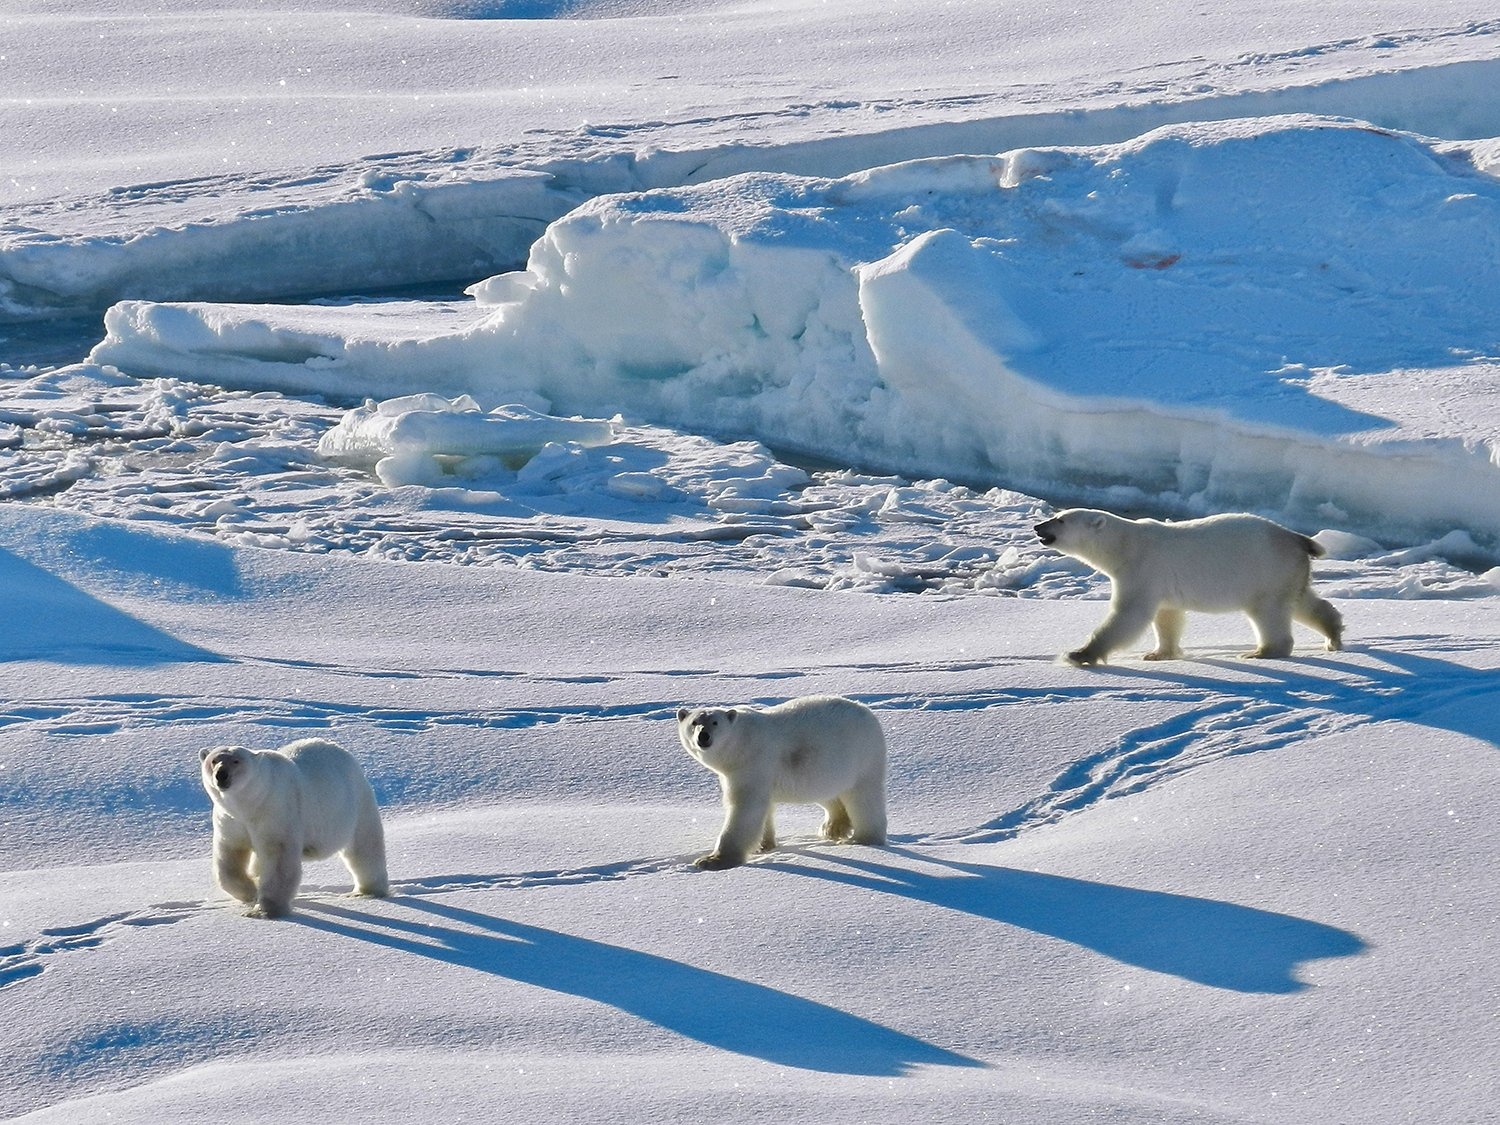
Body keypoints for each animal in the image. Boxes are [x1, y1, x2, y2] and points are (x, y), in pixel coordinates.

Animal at [200, 737, 388, 918]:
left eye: (236, 761)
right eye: (214, 760)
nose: (221, 775)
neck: (248, 804)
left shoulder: (274, 809)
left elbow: (278, 857)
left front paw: (263, 911)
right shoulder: (230, 820)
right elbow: (229, 857)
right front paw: (251, 891)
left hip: (355, 804)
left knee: (364, 847)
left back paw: (365, 892)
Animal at [676, 695, 888, 870]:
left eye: (715, 722)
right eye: (694, 722)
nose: (703, 736)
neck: (740, 744)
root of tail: (868, 712)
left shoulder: (752, 765)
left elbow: (744, 809)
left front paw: (712, 860)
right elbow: (765, 808)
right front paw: (764, 845)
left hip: (864, 757)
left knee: (864, 798)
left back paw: (861, 839)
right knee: (828, 793)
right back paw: (833, 827)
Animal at [1034, 508, 1343, 665]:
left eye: (1060, 519)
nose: (1038, 527)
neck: (1125, 545)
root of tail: (1296, 538)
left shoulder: (1142, 569)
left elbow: (1128, 616)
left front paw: (1078, 654)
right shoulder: (1160, 583)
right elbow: (1167, 616)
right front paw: (1159, 653)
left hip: (1266, 572)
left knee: (1269, 611)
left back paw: (1262, 651)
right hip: (1288, 573)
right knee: (1304, 603)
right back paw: (1333, 636)